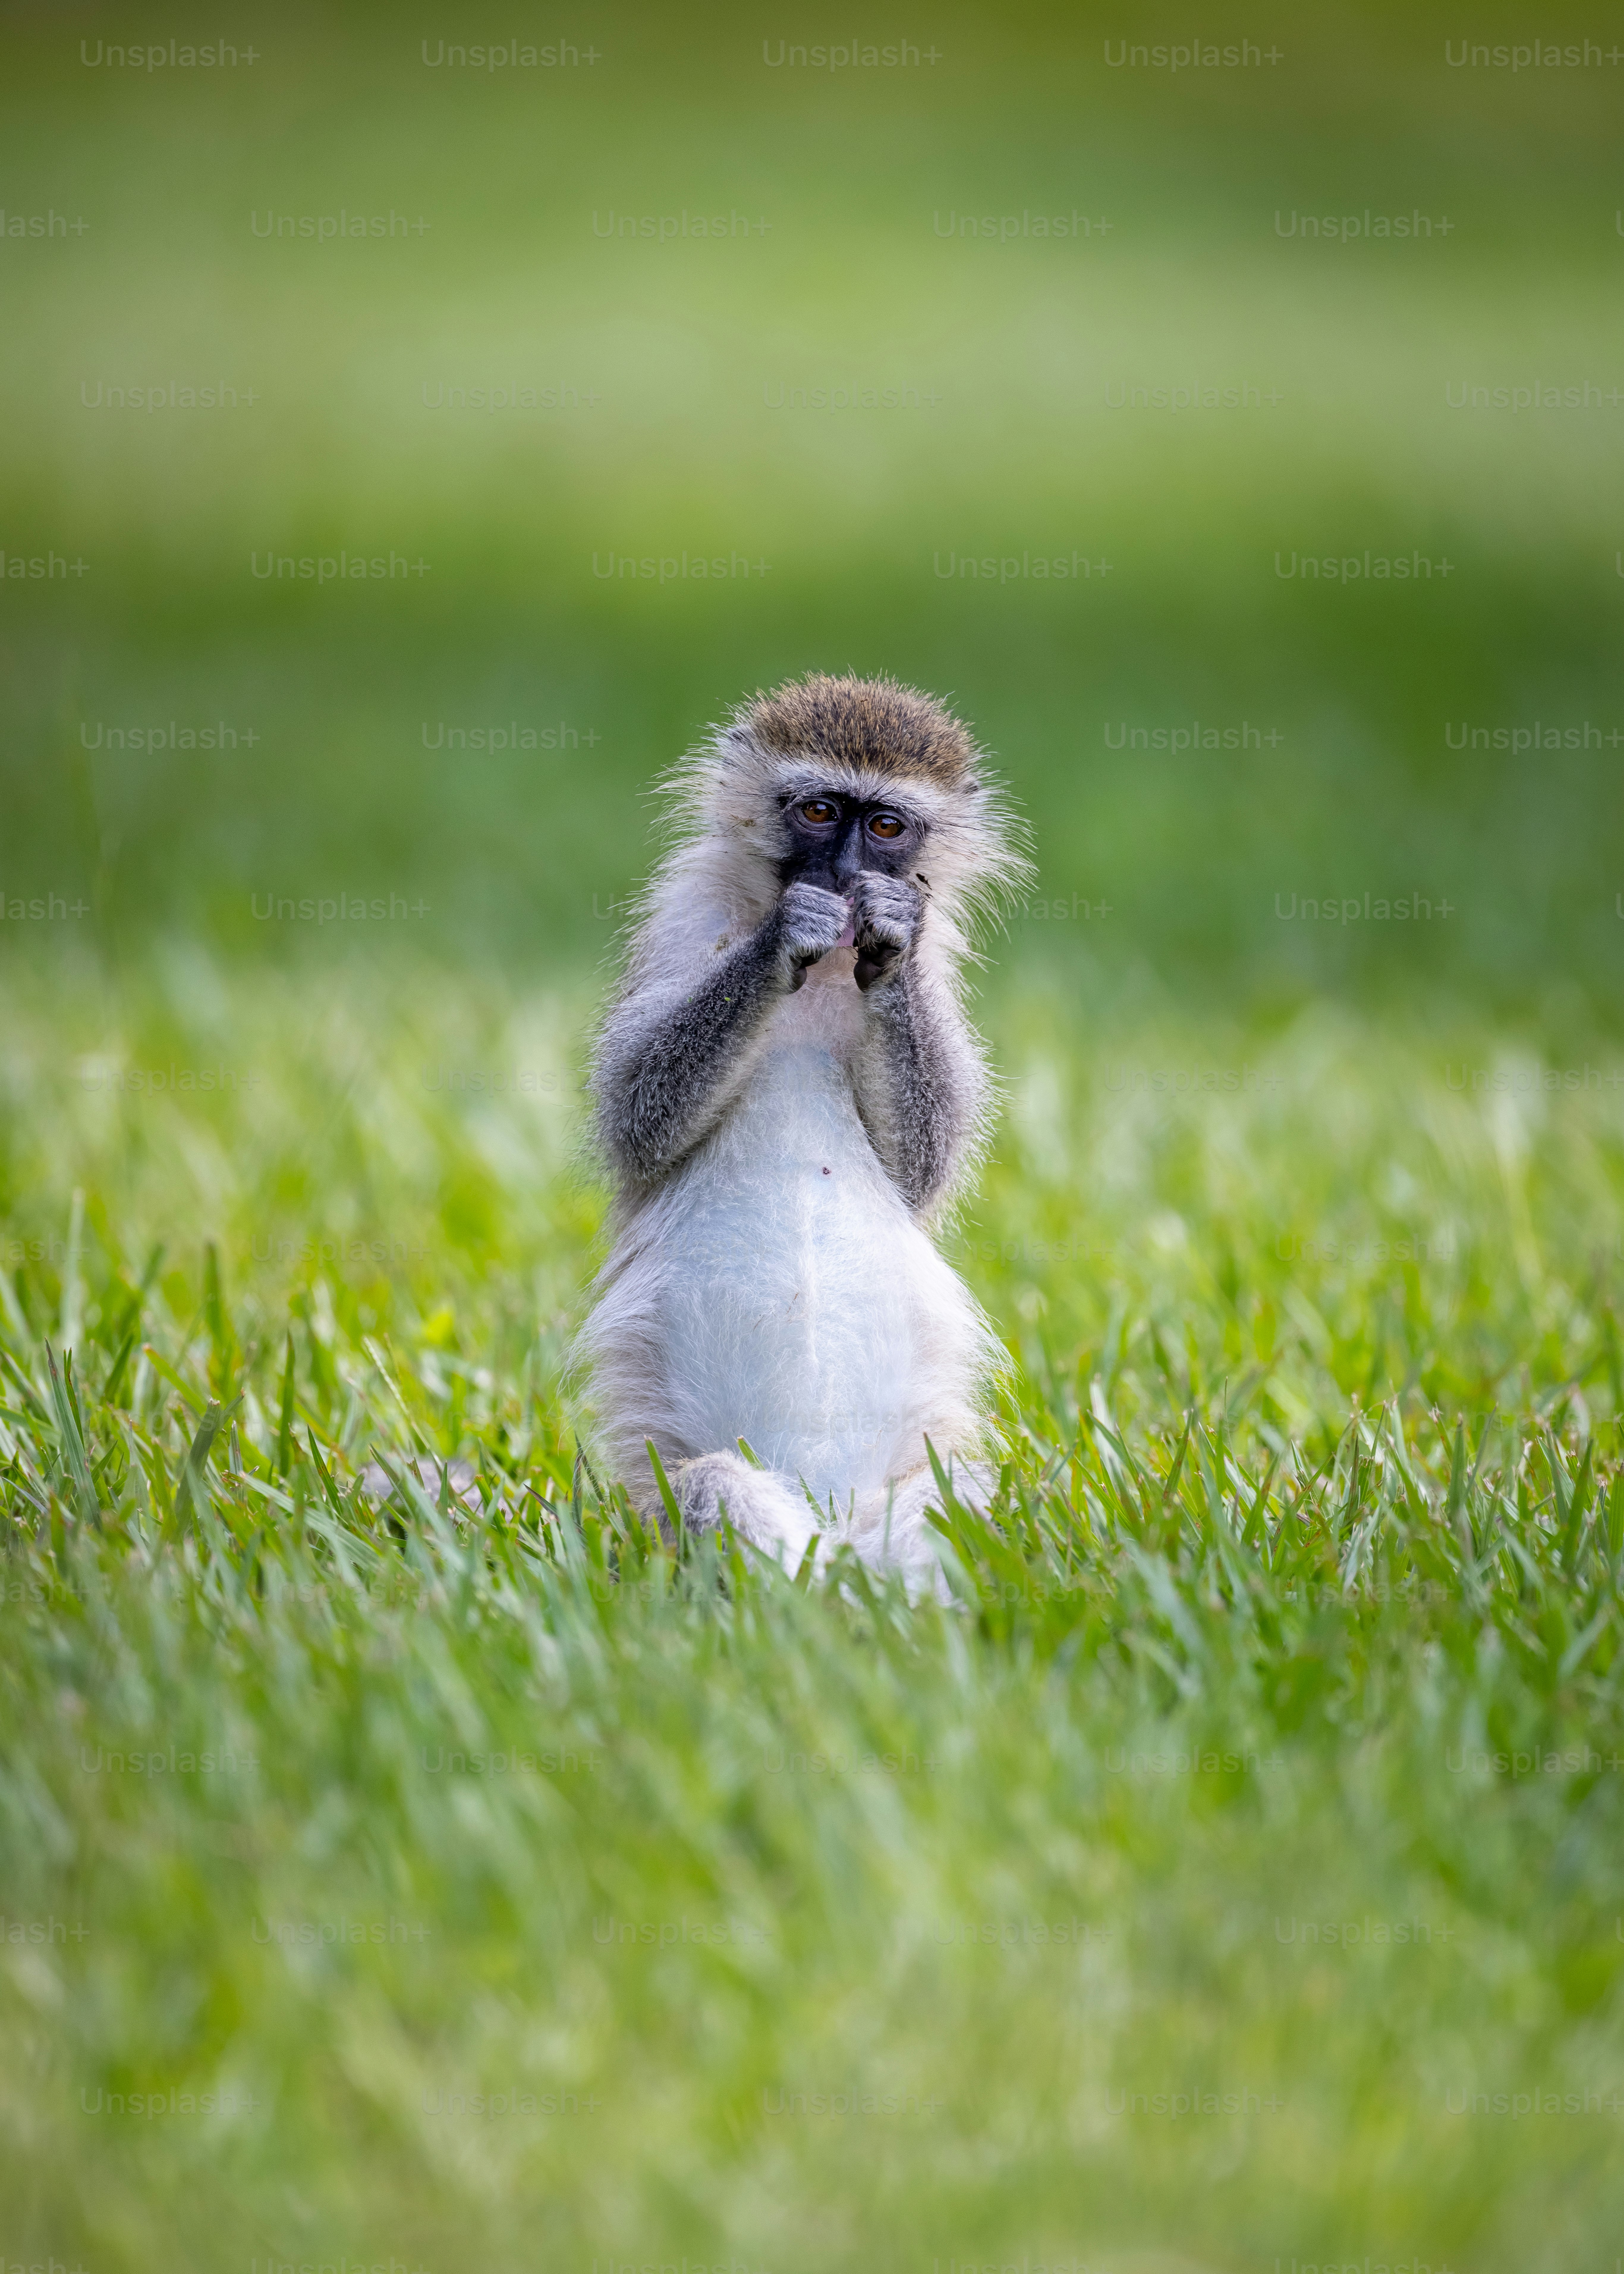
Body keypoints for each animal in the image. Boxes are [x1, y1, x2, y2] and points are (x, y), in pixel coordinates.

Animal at [575, 673, 1028, 1590]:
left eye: (886, 825)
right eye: (819, 811)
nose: (847, 873)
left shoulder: (938, 953)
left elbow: (921, 1169)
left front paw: (889, 930)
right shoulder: (684, 916)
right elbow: (637, 1119)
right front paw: (785, 933)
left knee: (950, 1500)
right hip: (714, 1494)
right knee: (715, 1486)